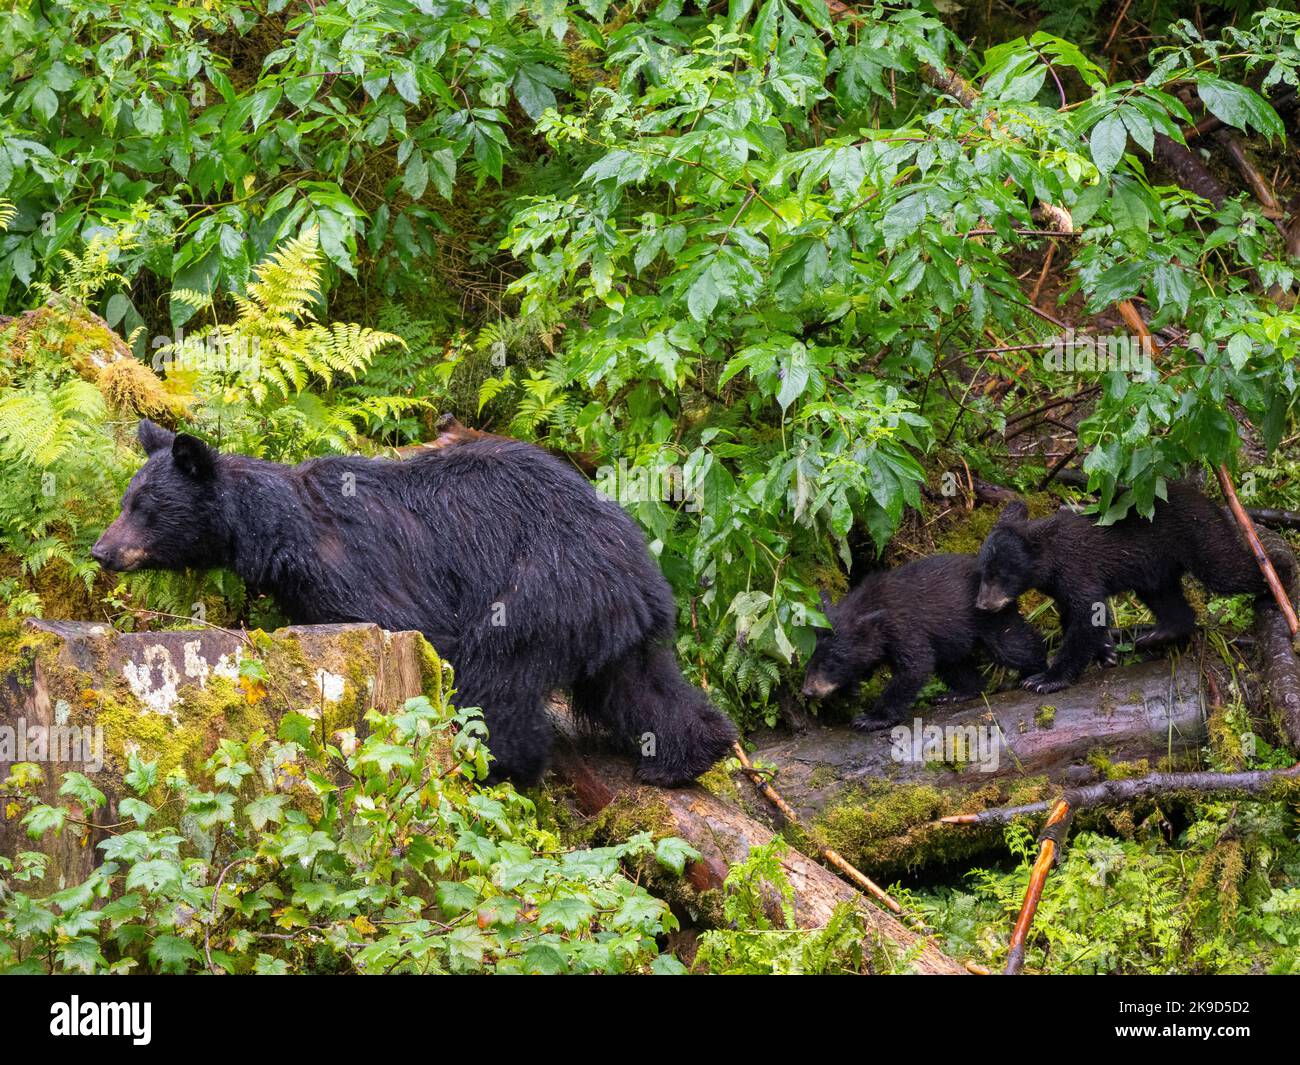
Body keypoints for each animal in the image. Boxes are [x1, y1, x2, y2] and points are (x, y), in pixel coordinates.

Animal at [92, 420, 737, 787]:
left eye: (144, 507)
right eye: (127, 500)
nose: (101, 551)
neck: (277, 533)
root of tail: (636, 570)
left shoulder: (358, 568)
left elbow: (409, 628)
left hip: (536, 592)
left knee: (498, 682)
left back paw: (501, 765)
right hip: (607, 617)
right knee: (639, 686)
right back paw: (681, 758)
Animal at [799, 553, 1046, 730]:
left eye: (831, 662)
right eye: (809, 659)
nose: (808, 690)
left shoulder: (905, 628)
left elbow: (915, 666)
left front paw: (871, 718)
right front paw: (851, 689)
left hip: (990, 617)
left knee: (1013, 646)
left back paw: (1037, 675)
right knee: (955, 665)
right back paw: (956, 693)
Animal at [974, 481, 1299, 694]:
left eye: (999, 574)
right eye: (983, 571)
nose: (982, 604)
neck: (1050, 561)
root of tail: (1211, 501)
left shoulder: (1078, 570)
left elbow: (1088, 614)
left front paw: (1045, 678)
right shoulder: (1062, 585)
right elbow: (1075, 615)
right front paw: (1106, 651)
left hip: (1200, 536)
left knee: (1226, 569)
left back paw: (1280, 579)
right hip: (1156, 569)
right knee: (1170, 601)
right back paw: (1155, 635)